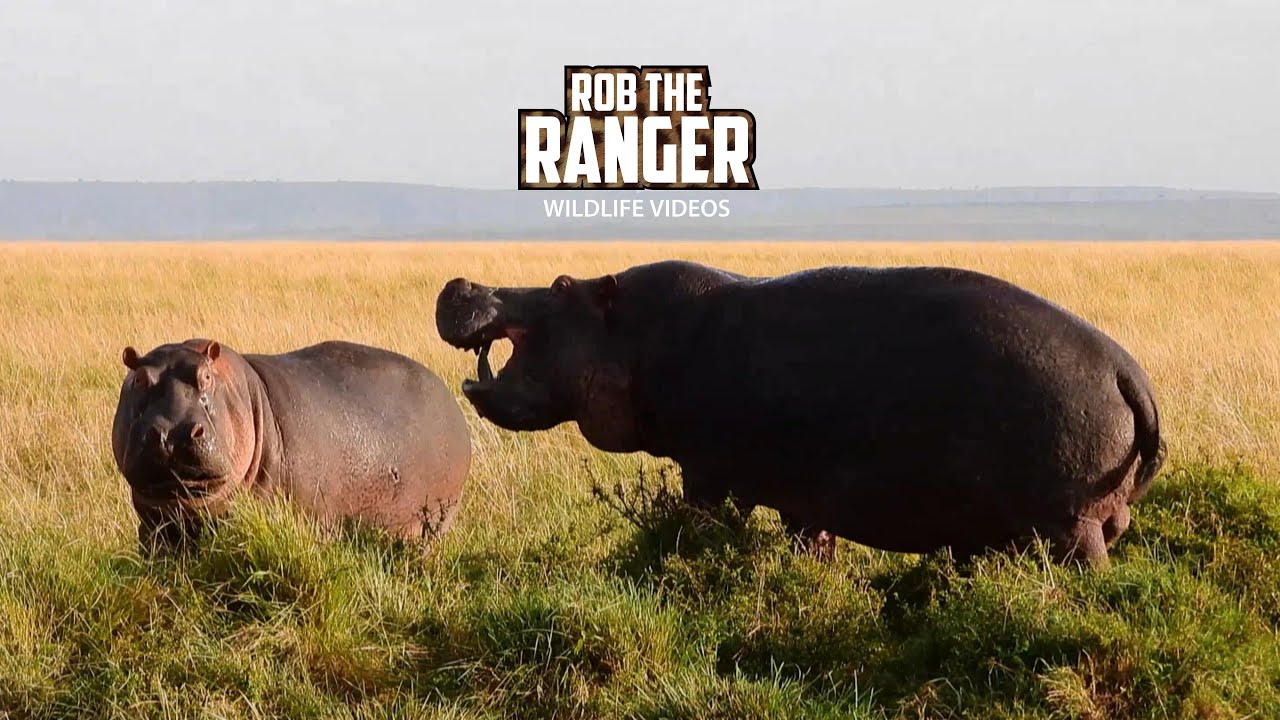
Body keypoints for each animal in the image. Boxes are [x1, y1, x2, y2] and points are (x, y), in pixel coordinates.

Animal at [435, 261, 1164, 566]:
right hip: (1091, 518)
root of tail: (1126, 372)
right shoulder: (805, 499)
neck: (638, 332)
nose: (462, 282)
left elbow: (699, 521)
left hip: (1070, 526)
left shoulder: (706, 473)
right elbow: (811, 542)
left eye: (560, 286)